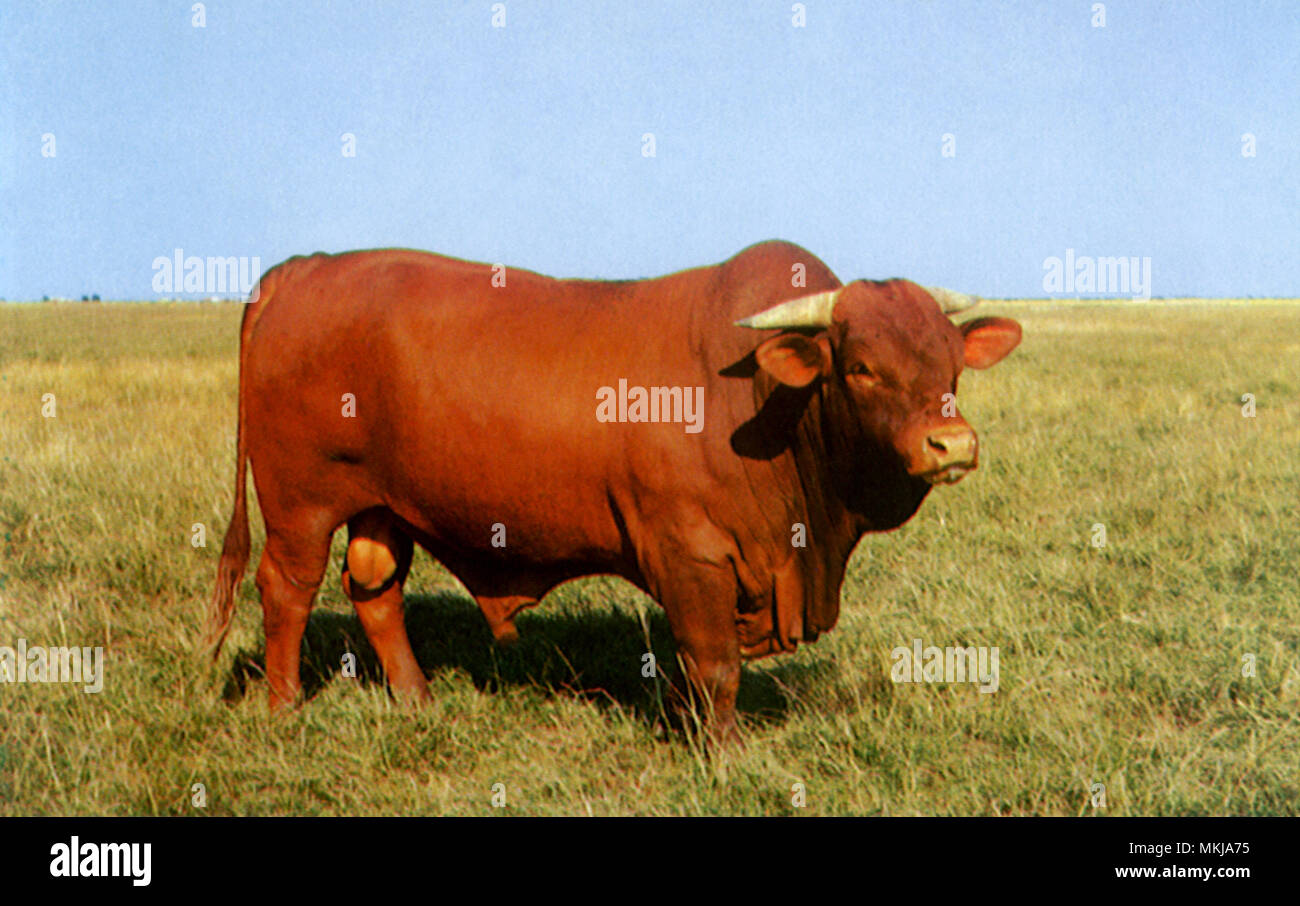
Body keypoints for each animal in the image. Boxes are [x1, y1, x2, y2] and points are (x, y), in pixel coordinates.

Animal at [205, 240, 1021, 743]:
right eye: (860, 367)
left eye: (950, 361)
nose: (952, 444)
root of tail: (303, 269)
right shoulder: (690, 553)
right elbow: (714, 663)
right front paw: (724, 754)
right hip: (303, 502)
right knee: (287, 589)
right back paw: (284, 707)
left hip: (383, 503)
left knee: (375, 587)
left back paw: (417, 700)